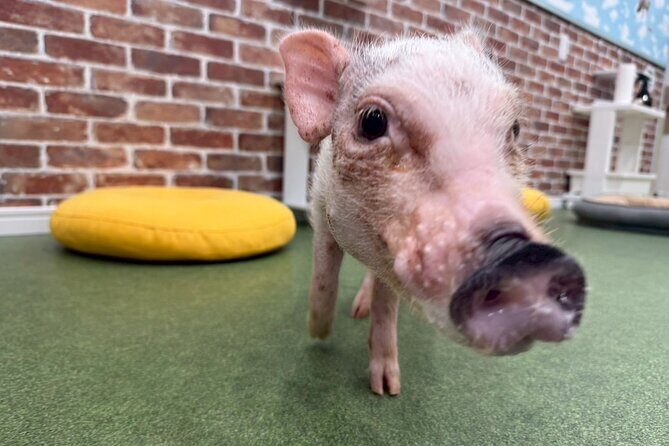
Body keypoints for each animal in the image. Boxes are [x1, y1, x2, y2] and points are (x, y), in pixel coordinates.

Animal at [278, 28, 586, 395]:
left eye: (515, 129)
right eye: (372, 121)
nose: (518, 252)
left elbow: (387, 302)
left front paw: (387, 390)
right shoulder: (320, 202)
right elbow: (324, 274)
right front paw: (318, 333)